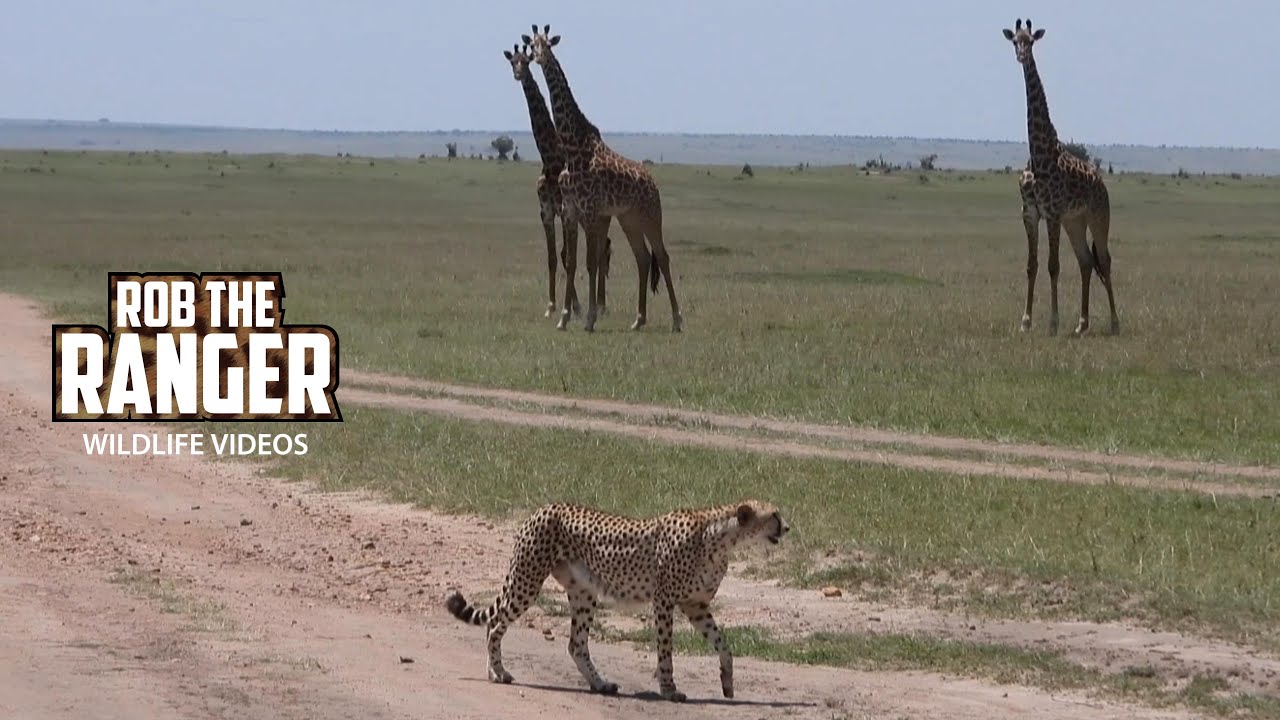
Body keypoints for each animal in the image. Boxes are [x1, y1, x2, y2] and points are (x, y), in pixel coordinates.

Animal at [444, 499, 789, 702]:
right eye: (773, 514)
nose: (787, 527)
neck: (720, 539)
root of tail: (544, 507)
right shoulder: (665, 601)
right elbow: (666, 651)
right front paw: (669, 689)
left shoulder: (696, 606)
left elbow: (724, 645)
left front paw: (727, 682)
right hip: (527, 581)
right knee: (494, 623)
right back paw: (497, 673)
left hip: (584, 593)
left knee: (576, 644)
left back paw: (600, 684)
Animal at [503, 43, 611, 327]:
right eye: (513, 62)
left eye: (526, 61)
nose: (518, 74)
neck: (550, 159)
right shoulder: (546, 211)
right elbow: (554, 257)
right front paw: (553, 306)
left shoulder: (564, 209)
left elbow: (565, 255)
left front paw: (574, 306)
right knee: (601, 248)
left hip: (599, 214)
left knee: (603, 249)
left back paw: (602, 305)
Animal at [523, 24, 682, 333]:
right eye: (532, 44)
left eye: (547, 44)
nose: (537, 57)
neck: (572, 144)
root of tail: (653, 182)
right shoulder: (570, 210)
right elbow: (572, 262)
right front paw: (564, 318)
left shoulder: (590, 210)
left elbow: (590, 262)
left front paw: (589, 318)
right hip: (628, 218)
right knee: (642, 258)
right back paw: (638, 320)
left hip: (651, 215)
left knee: (662, 256)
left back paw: (677, 320)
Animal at [1003, 18, 1118, 336]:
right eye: (1014, 40)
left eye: (1031, 41)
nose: (1021, 55)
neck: (1039, 152)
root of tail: (1101, 184)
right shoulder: (1030, 212)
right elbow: (1032, 265)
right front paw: (1026, 322)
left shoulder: (1052, 212)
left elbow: (1053, 266)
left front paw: (1053, 323)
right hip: (1074, 221)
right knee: (1086, 261)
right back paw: (1082, 324)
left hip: (1098, 216)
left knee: (1104, 260)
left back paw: (1114, 323)